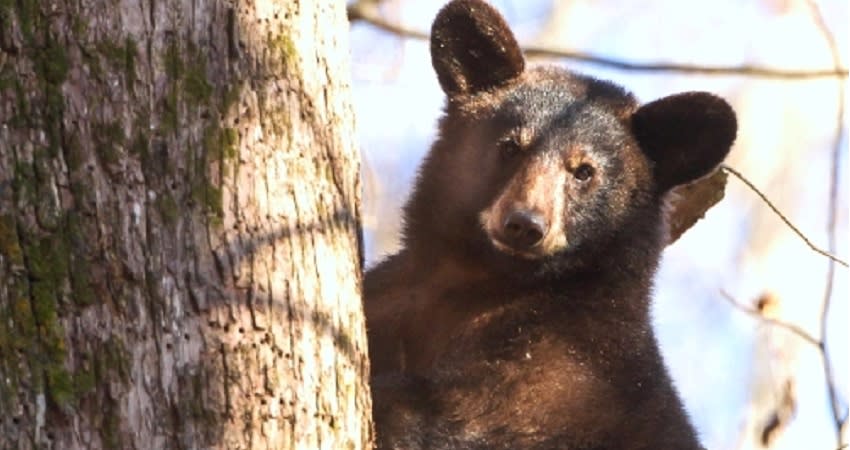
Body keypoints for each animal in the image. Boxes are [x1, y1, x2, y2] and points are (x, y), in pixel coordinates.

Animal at [364, 0, 737, 449]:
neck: (480, 280)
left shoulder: (571, 370)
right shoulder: (395, 294)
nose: (525, 225)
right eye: (511, 146)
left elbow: (477, 417)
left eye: (584, 171)